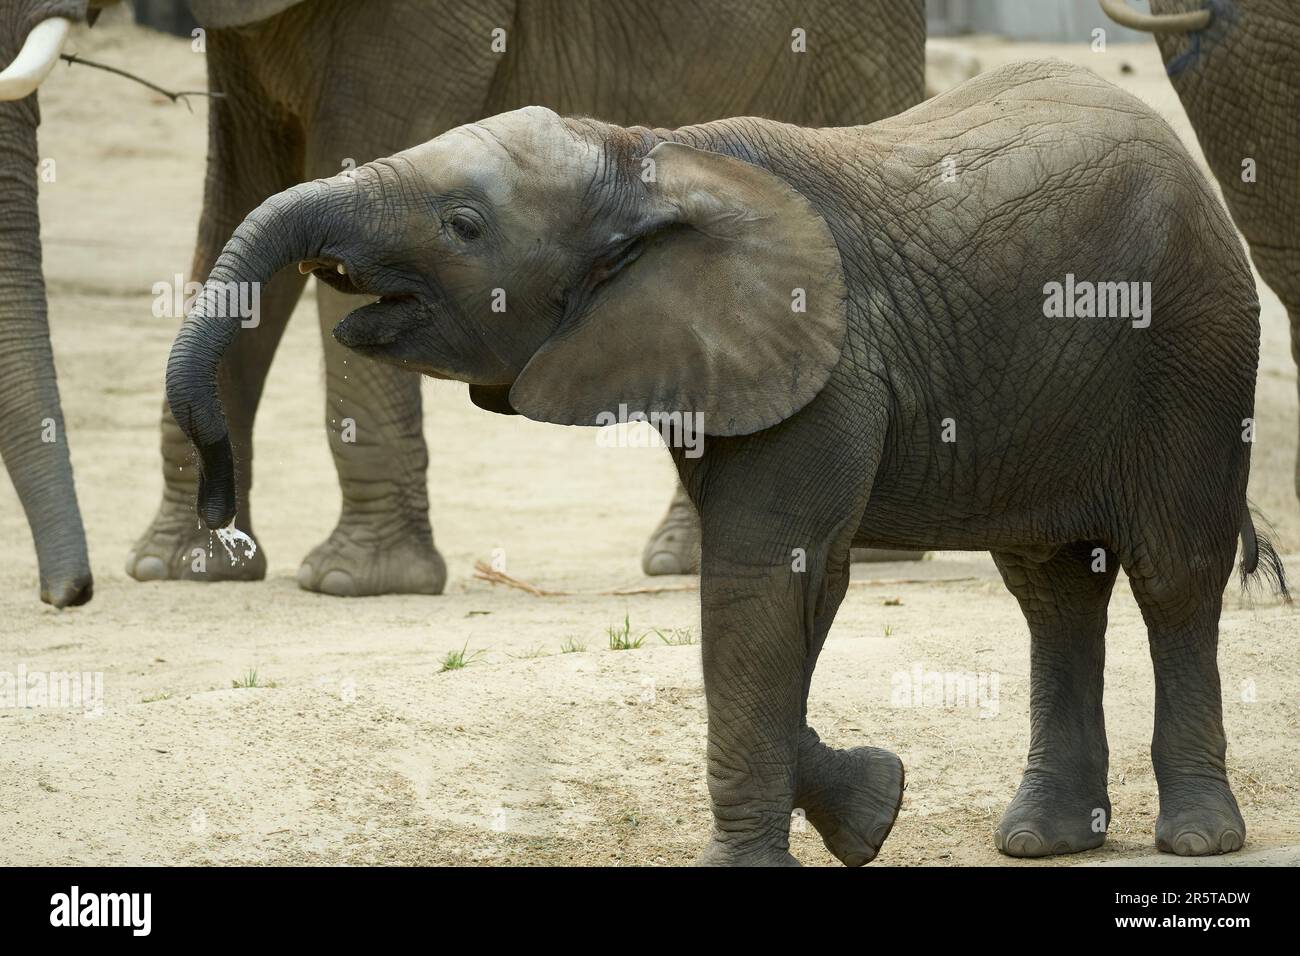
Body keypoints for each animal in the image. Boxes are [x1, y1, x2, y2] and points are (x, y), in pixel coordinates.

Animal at [165, 58, 1278, 864]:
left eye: (465, 226)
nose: (222, 517)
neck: (644, 156)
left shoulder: (825, 362)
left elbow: (759, 575)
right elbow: (793, 590)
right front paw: (872, 809)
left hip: (1195, 349)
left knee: (1173, 575)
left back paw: (1197, 839)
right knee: (1050, 588)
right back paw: (1041, 840)